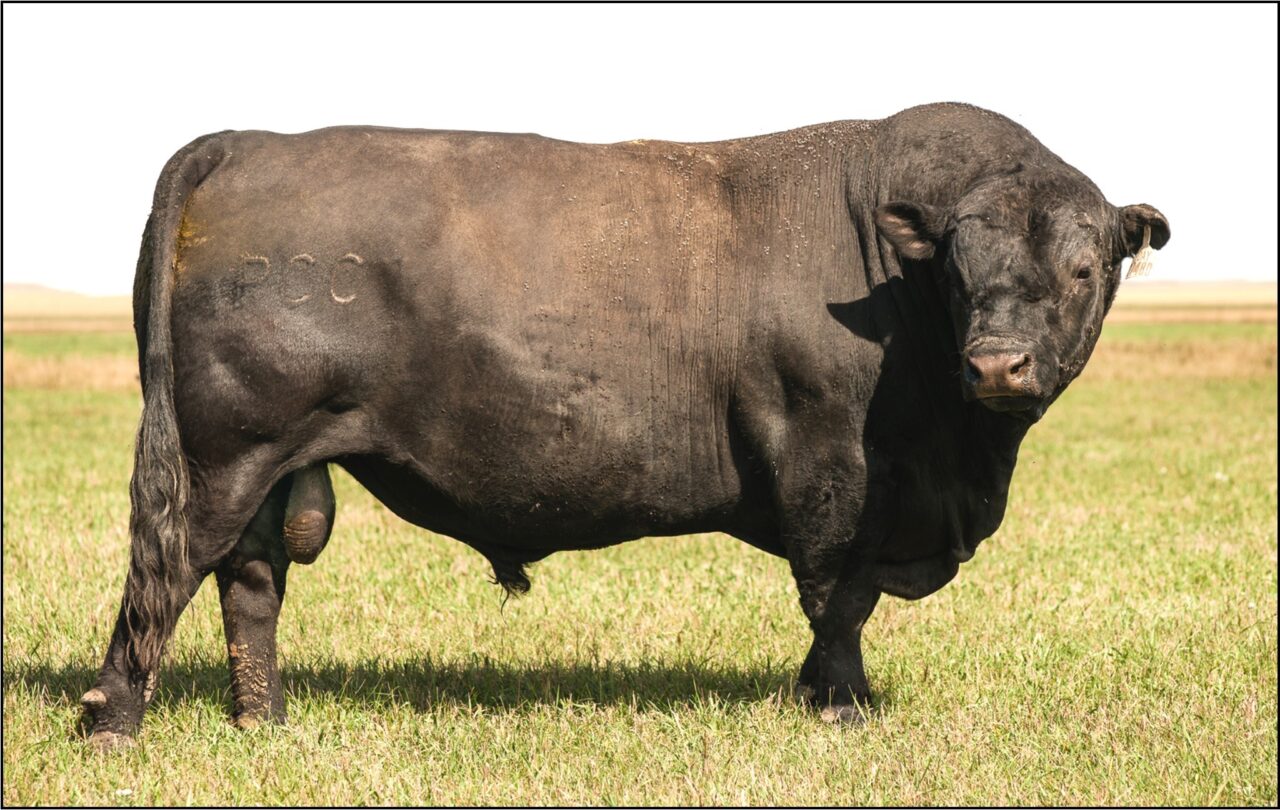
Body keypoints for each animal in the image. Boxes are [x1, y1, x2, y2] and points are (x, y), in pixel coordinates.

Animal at [81, 103, 1168, 746]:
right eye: (957, 271)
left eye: (1083, 267)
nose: (996, 364)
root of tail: (250, 139)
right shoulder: (830, 471)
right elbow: (836, 600)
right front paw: (840, 709)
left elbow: (838, 605)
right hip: (219, 453)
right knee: (167, 568)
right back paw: (113, 722)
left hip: (266, 465)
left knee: (250, 582)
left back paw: (262, 722)